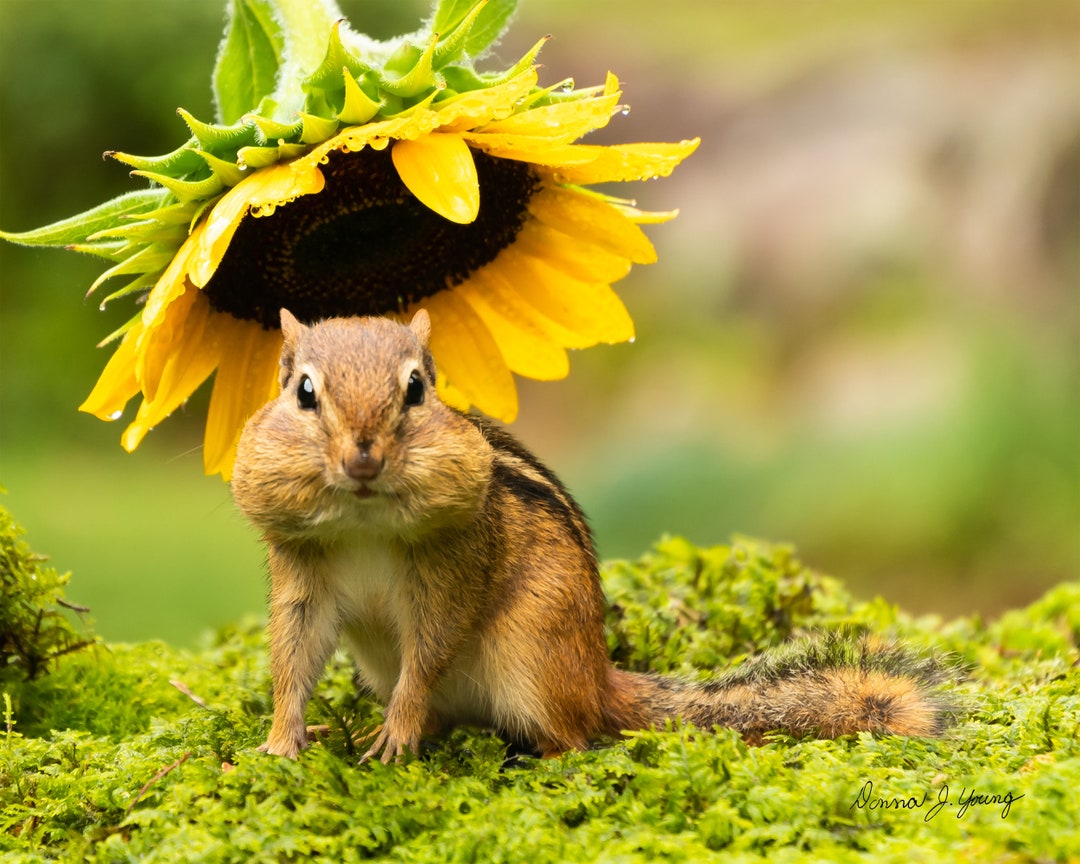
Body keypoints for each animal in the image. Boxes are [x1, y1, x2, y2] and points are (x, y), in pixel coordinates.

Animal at [231, 310, 957, 763]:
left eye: (415, 388)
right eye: (303, 392)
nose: (362, 459)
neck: (364, 517)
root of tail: (597, 674)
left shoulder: (449, 569)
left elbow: (431, 649)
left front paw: (396, 731)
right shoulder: (302, 576)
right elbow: (293, 655)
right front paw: (281, 741)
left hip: (530, 652)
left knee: (576, 735)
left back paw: (532, 759)